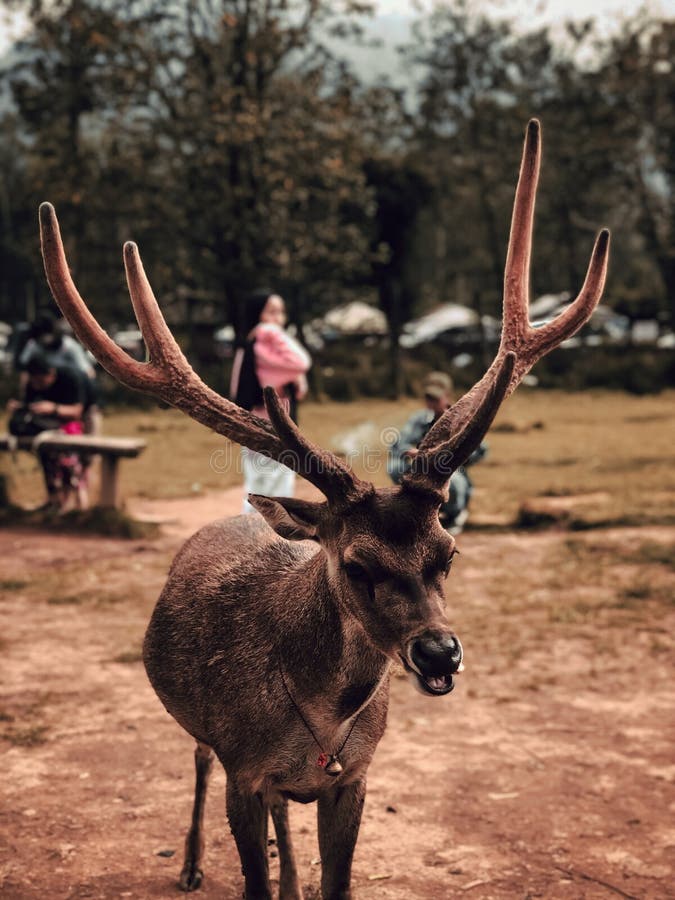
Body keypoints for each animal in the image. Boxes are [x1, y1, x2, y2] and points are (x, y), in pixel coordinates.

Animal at [38, 120, 608, 900]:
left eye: (448, 553)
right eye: (356, 563)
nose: (439, 652)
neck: (316, 719)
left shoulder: (354, 777)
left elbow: (336, 880)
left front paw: (304, 881)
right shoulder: (243, 771)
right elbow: (247, 864)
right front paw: (243, 874)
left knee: (286, 813)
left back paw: (290, 878)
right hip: (202, 734)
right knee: (196, 763)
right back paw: (190, 863)